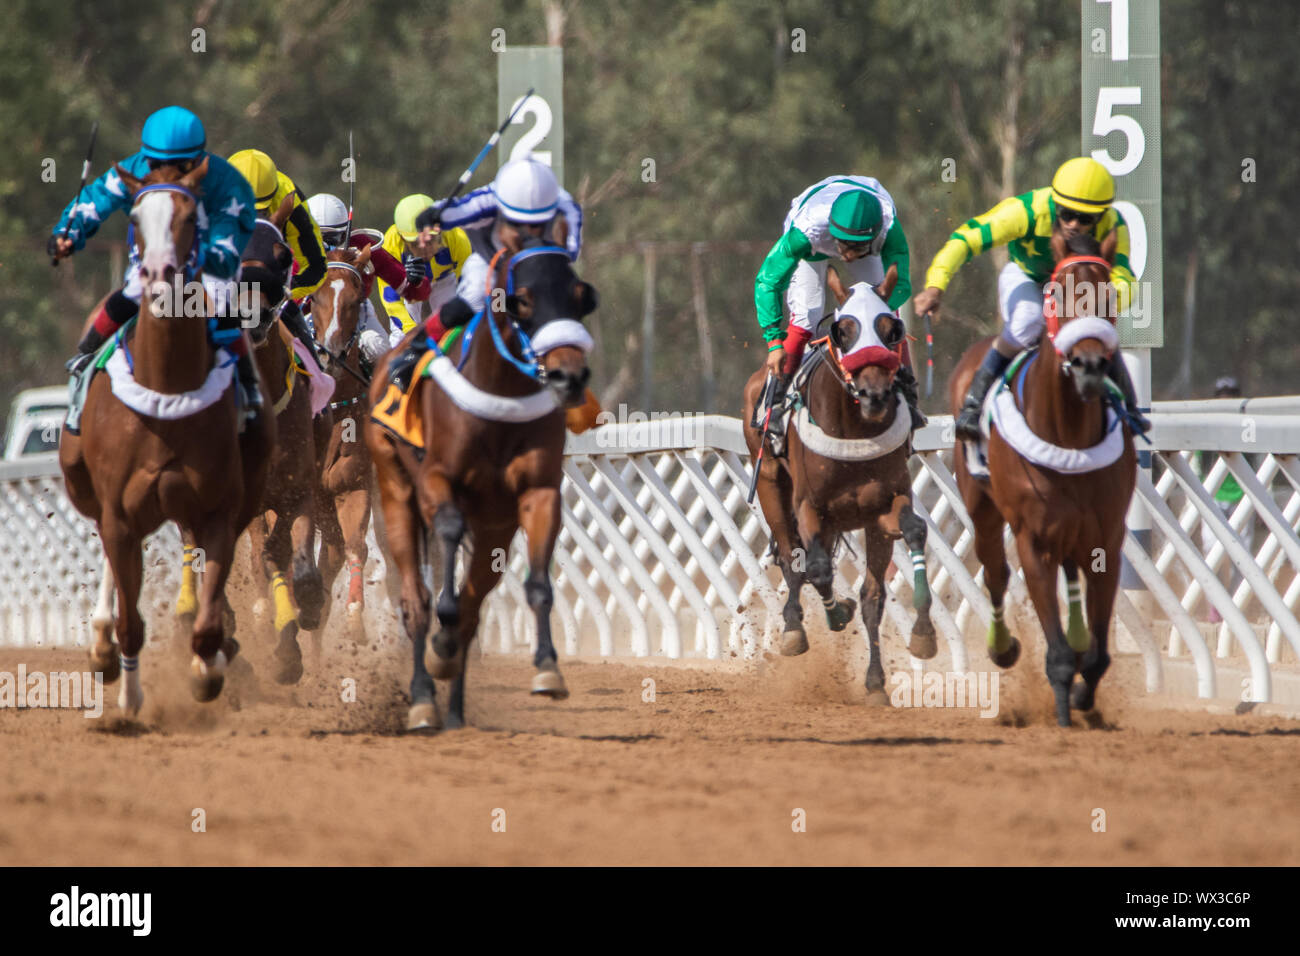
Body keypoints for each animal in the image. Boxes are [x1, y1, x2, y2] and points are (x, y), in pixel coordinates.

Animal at [58, 159, 274, 714]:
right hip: (85, 485)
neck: (167, 389)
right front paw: (129, 699)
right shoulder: (120, 512)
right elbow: (132, 621)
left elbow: (210, 615)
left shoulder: (219, 509)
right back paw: (101, 645)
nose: (157, 275)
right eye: (135, 216)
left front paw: (208, 666)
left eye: (189, 218)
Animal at [365, 238, 597, 732]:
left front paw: (547, 668)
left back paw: (452, 705)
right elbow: (448, 542)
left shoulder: (535, 494)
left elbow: (534, 584)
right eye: (522, 299)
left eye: (579, 297)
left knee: (472, 606)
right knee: (414, 598)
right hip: (392, 489)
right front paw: (441, 634)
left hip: (494, 529)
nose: (568, 377)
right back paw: (422, 699)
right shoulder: (435, 480)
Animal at [742, 265, 934, 702]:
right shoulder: (810, 507)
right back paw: (794, 628)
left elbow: (908, 540)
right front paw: (834, 614)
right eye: (843, 330)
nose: (875, 394)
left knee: (867, 593)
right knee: (792, 558)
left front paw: (921, 636)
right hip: (771, 487)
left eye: (892, 329)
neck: (853, 429)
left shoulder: (884, 507)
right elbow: (816, 568)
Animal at [949, 231, 1137, 726]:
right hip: (983, 511)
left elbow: (1098, 654)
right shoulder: (1032, 538)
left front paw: (1084, 698)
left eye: (1108, 296)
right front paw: (1063, 711)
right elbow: (1057, 652)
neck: (1067, 434)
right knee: (995, 573)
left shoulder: (1106, 538)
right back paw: (1003, 649)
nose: (1089, 365)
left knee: (1069, 577)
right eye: (1059, 294)